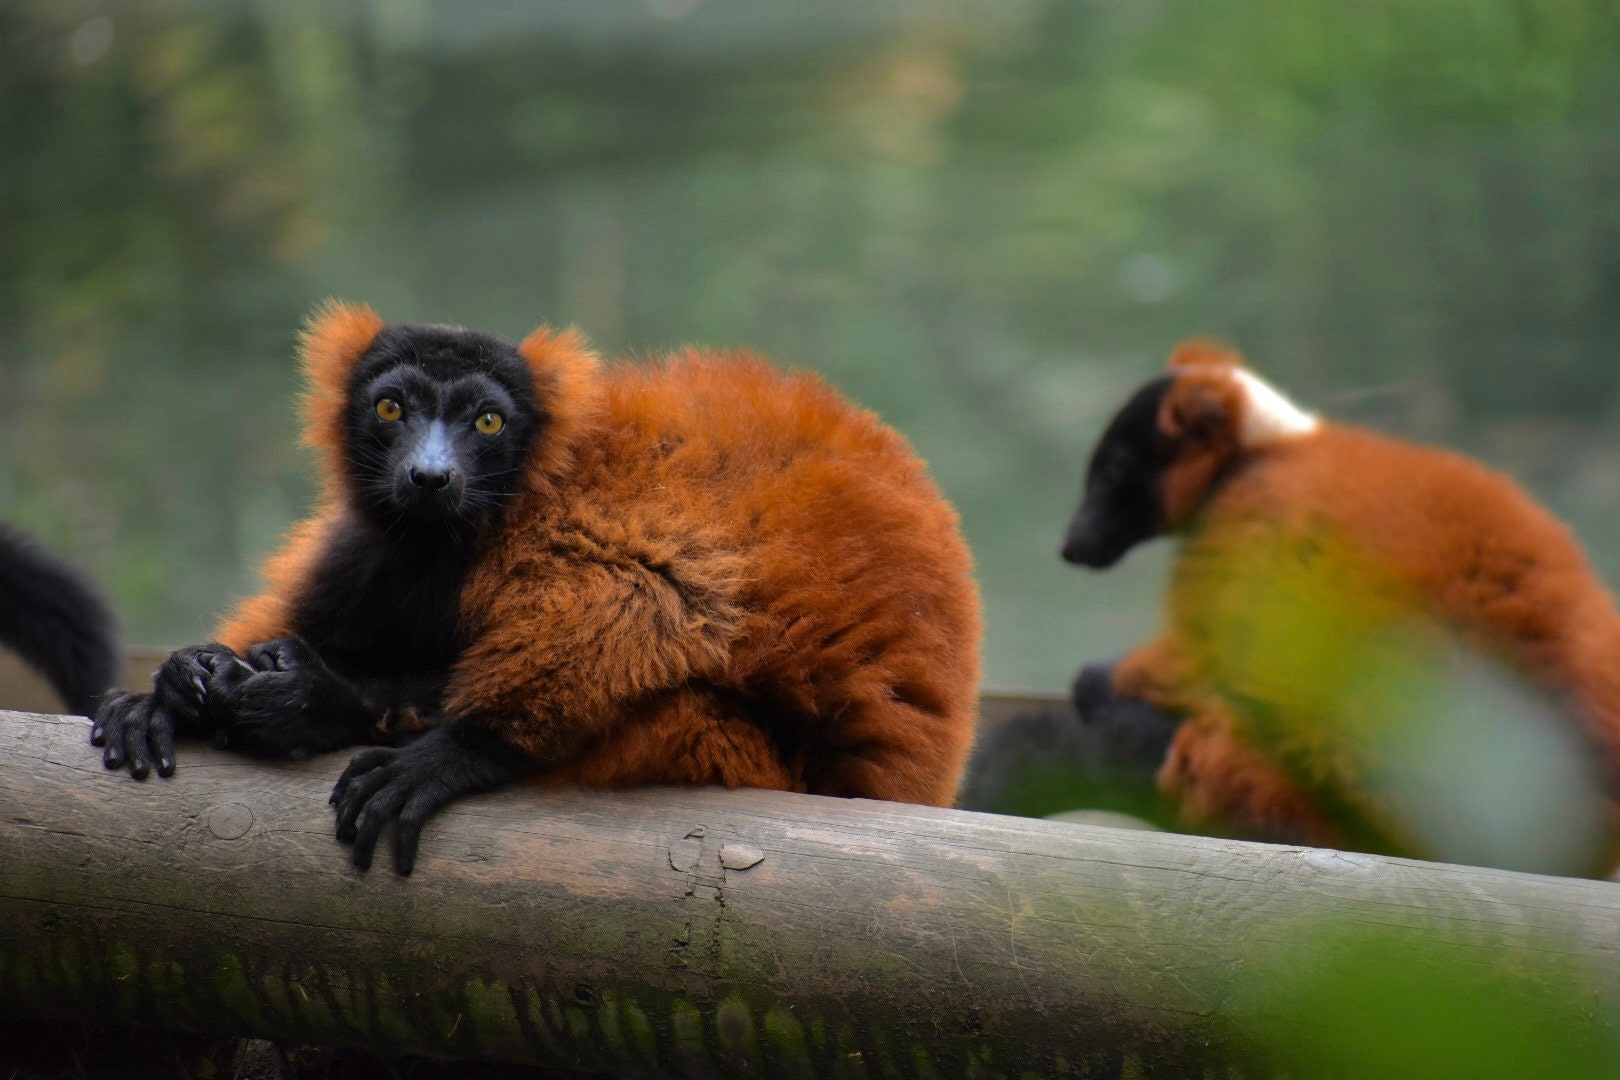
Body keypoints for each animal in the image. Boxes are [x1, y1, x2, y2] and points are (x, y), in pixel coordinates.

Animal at [94, 302, 982, 874]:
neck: (462, 530)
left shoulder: (575, 519)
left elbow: (655, 600)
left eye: (486, 422)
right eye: (392, 408)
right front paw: (180, 684)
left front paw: (452, 749)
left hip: (743, 755)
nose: (429, 476)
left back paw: (326, 707)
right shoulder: (382, 545)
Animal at [1059, 339, 1620, 873]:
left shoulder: (1233, 527)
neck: (1264, 451)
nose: (1073, 544)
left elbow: (1206, 656)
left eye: (1112, 474)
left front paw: (1107, 681)